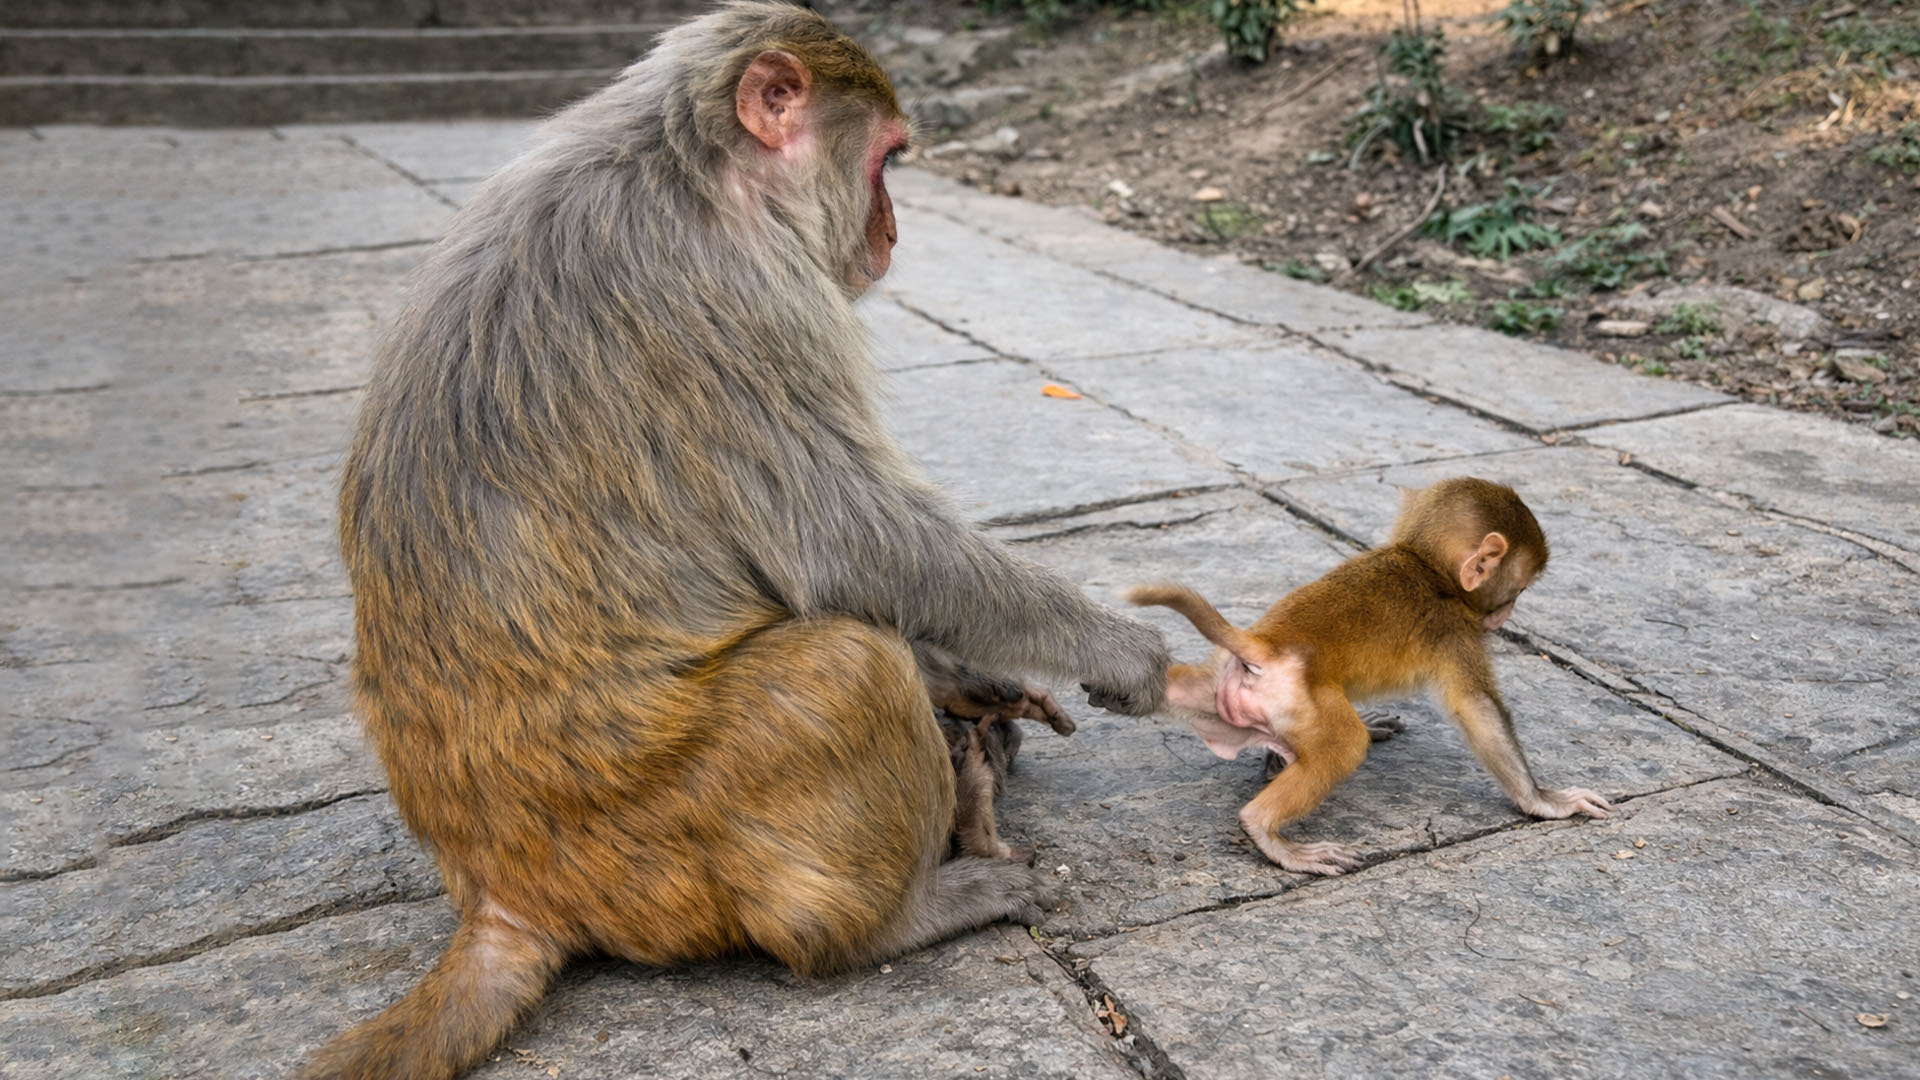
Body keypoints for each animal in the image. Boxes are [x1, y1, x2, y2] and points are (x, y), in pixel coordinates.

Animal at [302, 5, 1168, 1079]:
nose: (890, 233)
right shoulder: (739, 291)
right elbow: (849, 543)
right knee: (844, 668)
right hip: (657, 839)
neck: (690, 168)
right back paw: (906, 912)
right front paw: (1117, 647)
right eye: (887, 161)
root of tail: (504, 889)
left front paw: (980, 680)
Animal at [1127, 477, 1610, 877]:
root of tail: (1264, 643)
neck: (1427, 567)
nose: (1506, 616)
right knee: (1344, 744)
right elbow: (1477, 708)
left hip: (1216, 691)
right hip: (1302, 699)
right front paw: (1543, 800)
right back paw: (1264, 829)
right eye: (1519, 590)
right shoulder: (1455, 630)